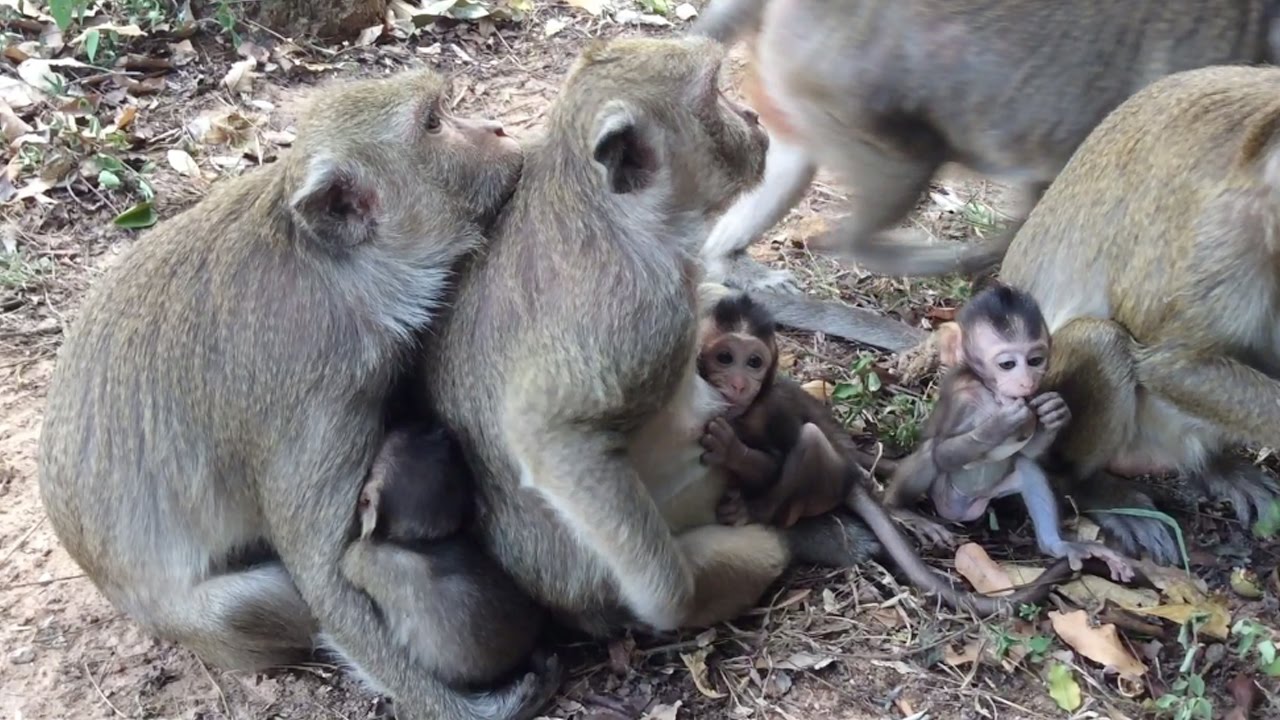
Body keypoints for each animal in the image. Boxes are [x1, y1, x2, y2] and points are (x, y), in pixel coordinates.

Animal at [693, 286, 1078, 609]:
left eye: (753, 362)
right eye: (725, 357)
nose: (739, 383)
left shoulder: (770, 409)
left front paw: (1051, 412)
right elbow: (946, 450)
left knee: (812, 442)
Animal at [882, 284, 1135, 582]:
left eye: (1035, 360)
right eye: (1007, 364)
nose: (1026, 381)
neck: (992, 393)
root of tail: (963, 511)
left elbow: (1029, 452)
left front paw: (1054, 413)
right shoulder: (962, 399)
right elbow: (944, 453)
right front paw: (999, 425)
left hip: (992, 494)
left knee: (1028, 469)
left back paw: (1058, 545)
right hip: (941, 494)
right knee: (930, 453)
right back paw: (900, 509)